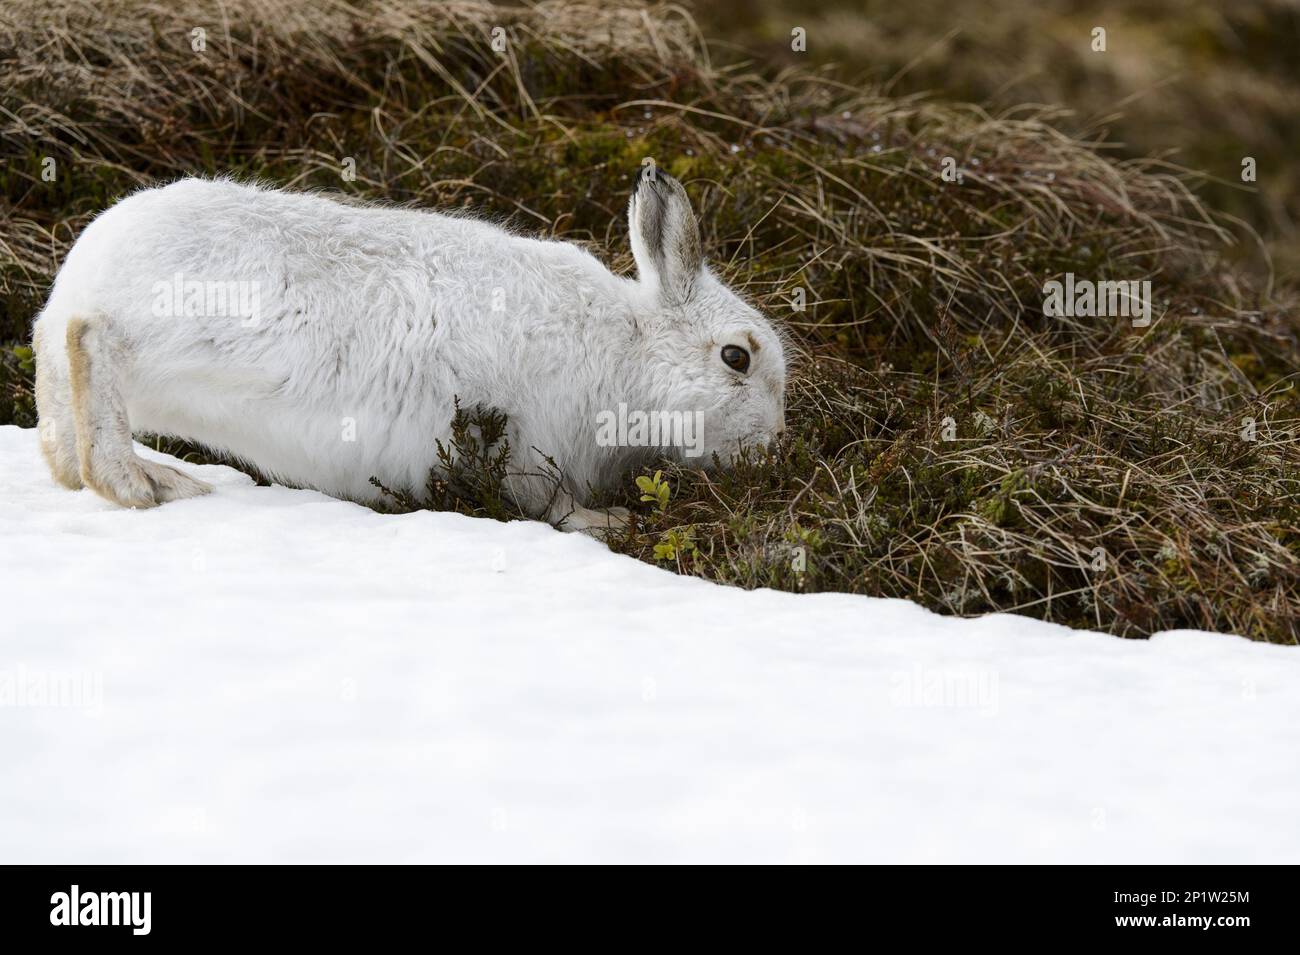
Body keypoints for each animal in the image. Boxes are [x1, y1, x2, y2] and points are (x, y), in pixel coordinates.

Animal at [31, 170, 788, 532]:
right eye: (737, 358)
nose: (772, 449)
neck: (628, 353)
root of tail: (80, 275)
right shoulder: (531, 446)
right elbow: (552, 506)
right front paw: (612, 520)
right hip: (164, 343)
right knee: (91, 349)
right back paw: (145, 485)